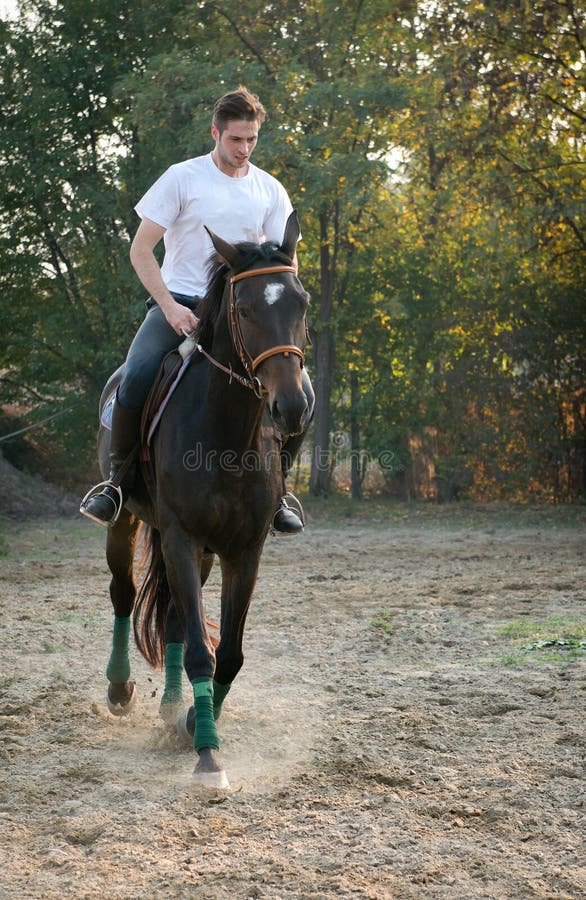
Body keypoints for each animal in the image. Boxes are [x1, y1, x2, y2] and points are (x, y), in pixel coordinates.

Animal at [96, 211, 311, 789]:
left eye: (301, 304)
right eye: (245, 308)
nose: (292, 407)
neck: (227, 434)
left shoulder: (244, 551)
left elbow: (227, 654)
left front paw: (196, 718)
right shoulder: (180, 538)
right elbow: (200, 652)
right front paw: (208, 757)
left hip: (203, 551)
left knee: (171, 614)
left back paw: (172, 706)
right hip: (128, 524)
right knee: (124, 594)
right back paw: (120, 689)